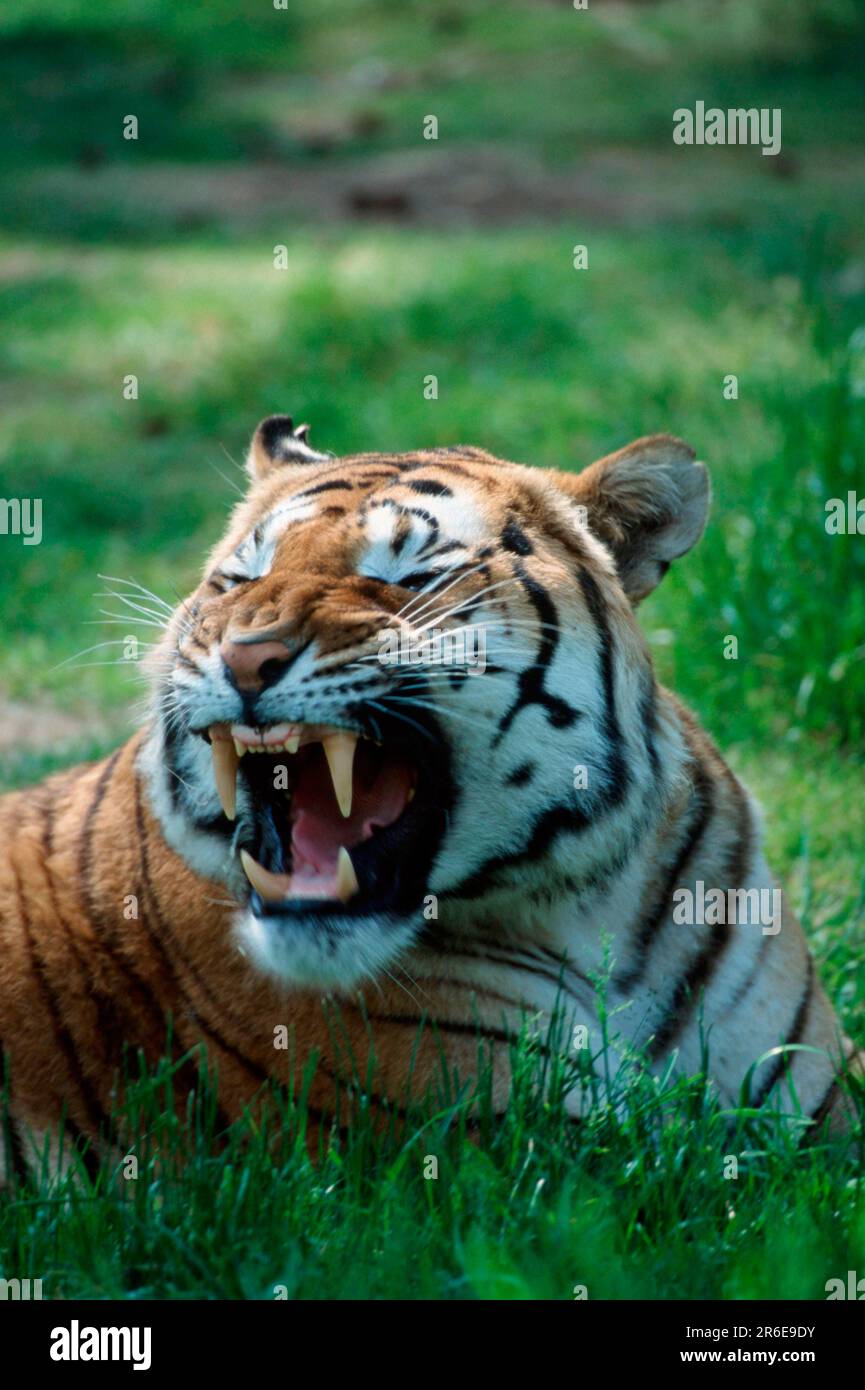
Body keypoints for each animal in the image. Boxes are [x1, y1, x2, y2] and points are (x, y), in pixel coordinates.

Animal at [0, 415, 857, 1179]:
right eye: (239, 579)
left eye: (410, 578)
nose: (245, 657)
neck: (595, 909)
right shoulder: (507, 1140)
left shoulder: (817, 1098)